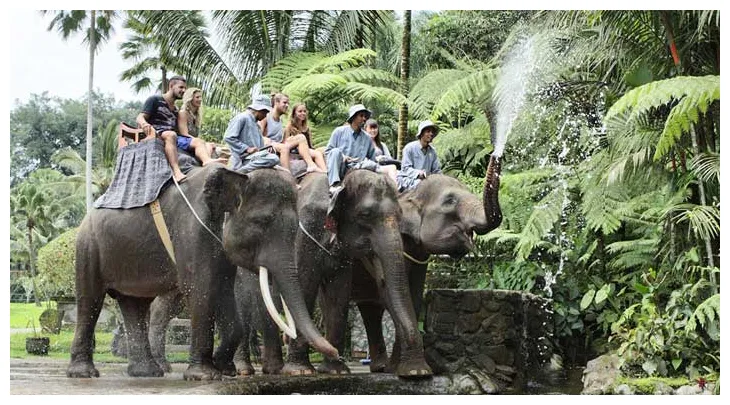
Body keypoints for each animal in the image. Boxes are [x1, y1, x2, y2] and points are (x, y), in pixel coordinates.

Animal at [67, 164, 339, 380]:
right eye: (261, 223)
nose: (337, 352)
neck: (235, 174)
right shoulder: (191, 230)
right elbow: (201, 288)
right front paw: (204, 375)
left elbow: (224, 291)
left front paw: (222, 368)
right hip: (88, 247)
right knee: (90, 300)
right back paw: (84, 373)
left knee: (135, 305)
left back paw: (146, 372)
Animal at [358, 155, 503, 373]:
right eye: (450, 201)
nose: (497, 153)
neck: (410, 194)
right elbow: (390, 290)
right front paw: (406, 369)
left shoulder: (418, 253)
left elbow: (415, 292)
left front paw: (402, 368)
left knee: (369, 307)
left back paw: (380, 367)